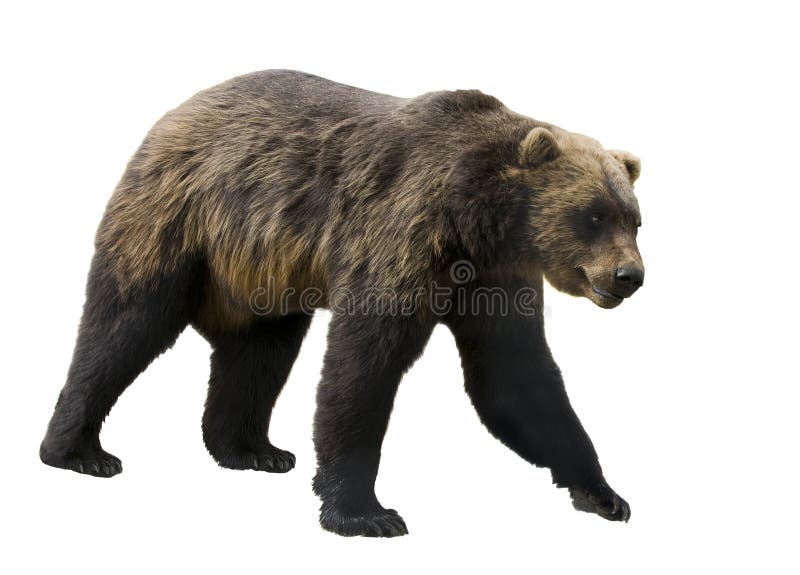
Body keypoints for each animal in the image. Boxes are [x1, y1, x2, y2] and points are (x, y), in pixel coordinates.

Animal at [40, 69, 645, 537]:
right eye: (592, 215)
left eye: (634, 218)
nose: (630, 276)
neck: (476, 217)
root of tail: (173, 114)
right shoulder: (402, 233)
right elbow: (363, 366)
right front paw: (365, 512)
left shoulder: (495, 279)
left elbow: (516, 377)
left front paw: (604, 493)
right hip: (182, 218)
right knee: (125, 323)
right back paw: (80, 452)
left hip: (261, 270)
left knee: (258, 351)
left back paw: (251, 449)